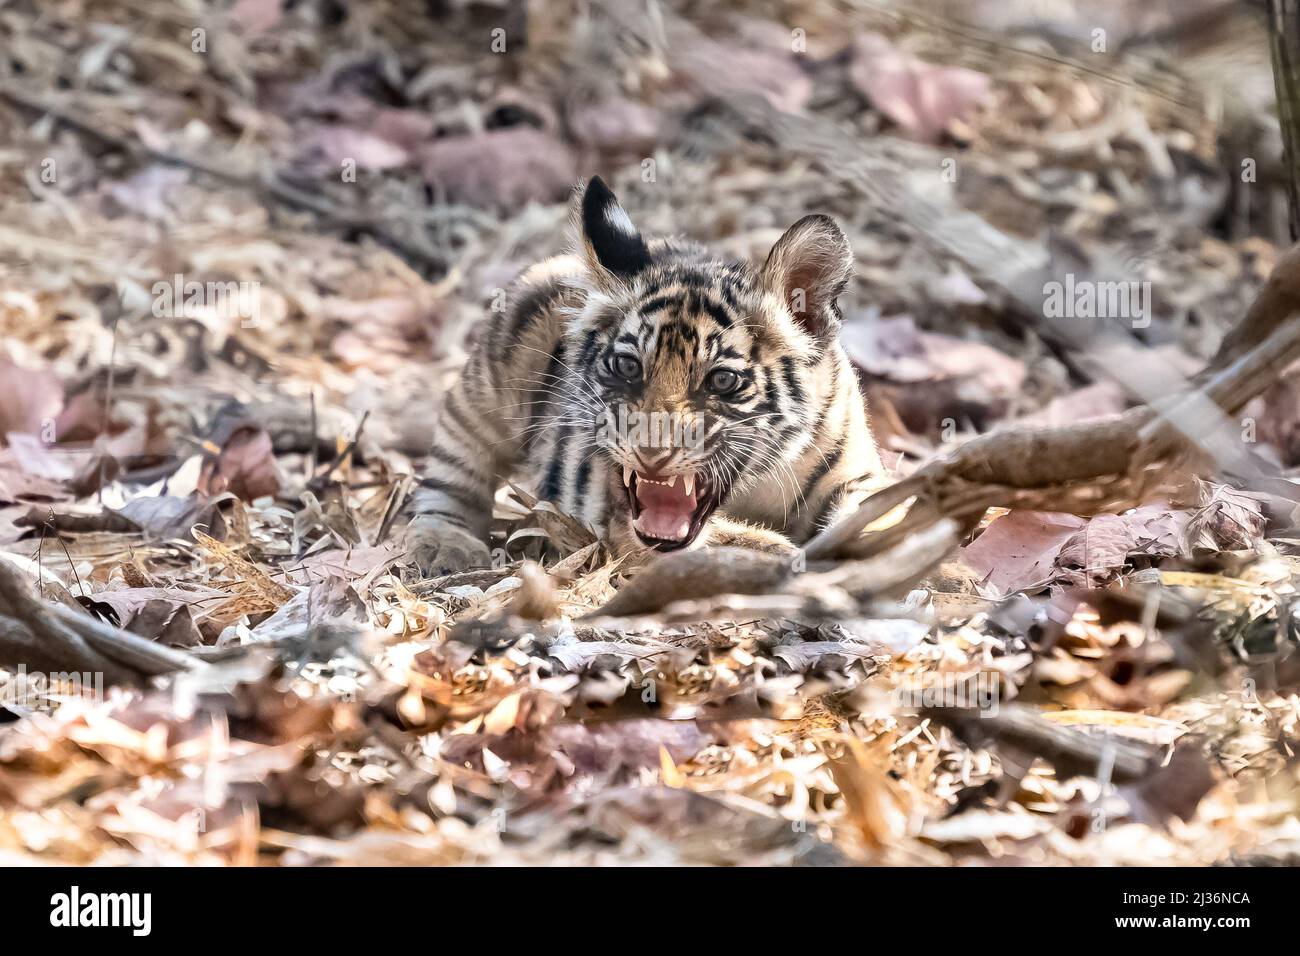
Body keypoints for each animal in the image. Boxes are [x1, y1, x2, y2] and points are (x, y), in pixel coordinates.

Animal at [406, 176, 882, 576]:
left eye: (722, 381)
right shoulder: (623, 520)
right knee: (455, 462)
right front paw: (785, 556)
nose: (651, 454)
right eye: (628, 366)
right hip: (491, 380)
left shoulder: (858, 473)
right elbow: (729, 540)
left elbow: (879, 515)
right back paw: (443, 543)